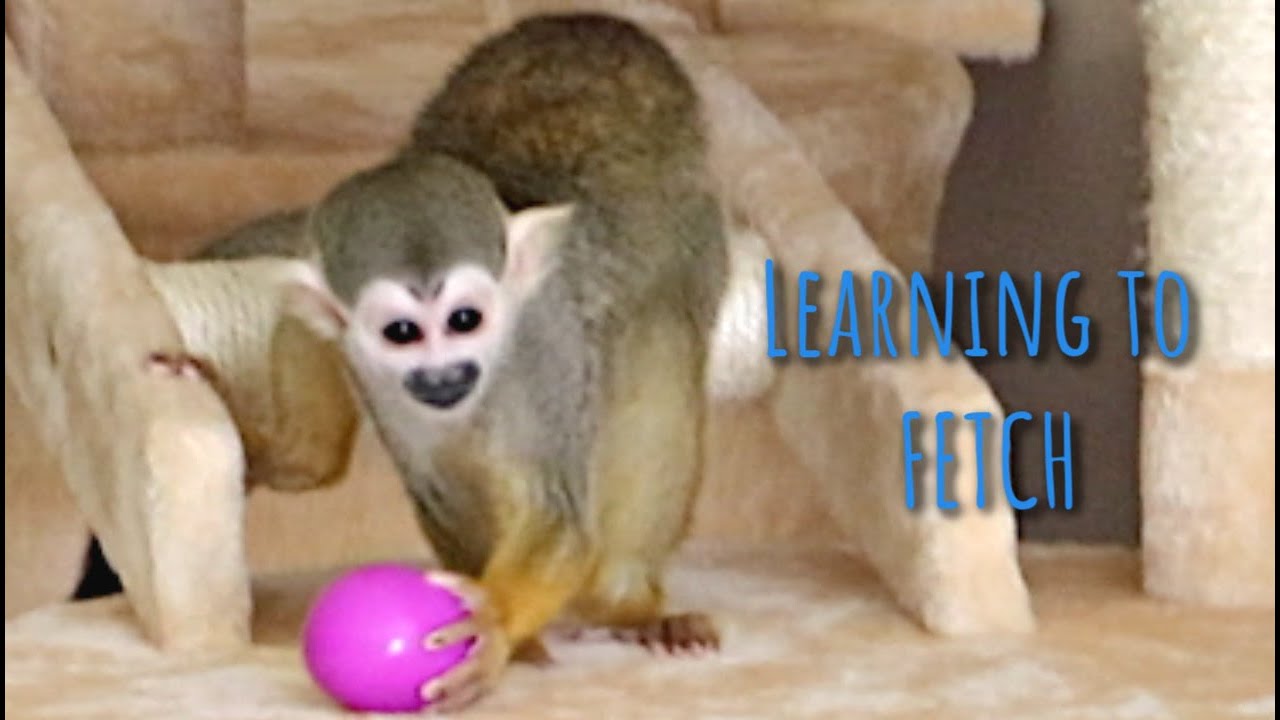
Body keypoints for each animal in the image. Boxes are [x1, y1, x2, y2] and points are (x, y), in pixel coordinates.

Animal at [197, 13, 731, 711]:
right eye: (401, 332)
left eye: (465, 320)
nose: (445, 375)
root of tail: (588, 21)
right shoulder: (372, 369)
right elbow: (440, 491)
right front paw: (514, 640)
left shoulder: (542, 345)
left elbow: (556, 515)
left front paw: (494, 626)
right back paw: (301, 456)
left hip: (692, 239)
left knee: (658, 364)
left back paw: (627, 603)